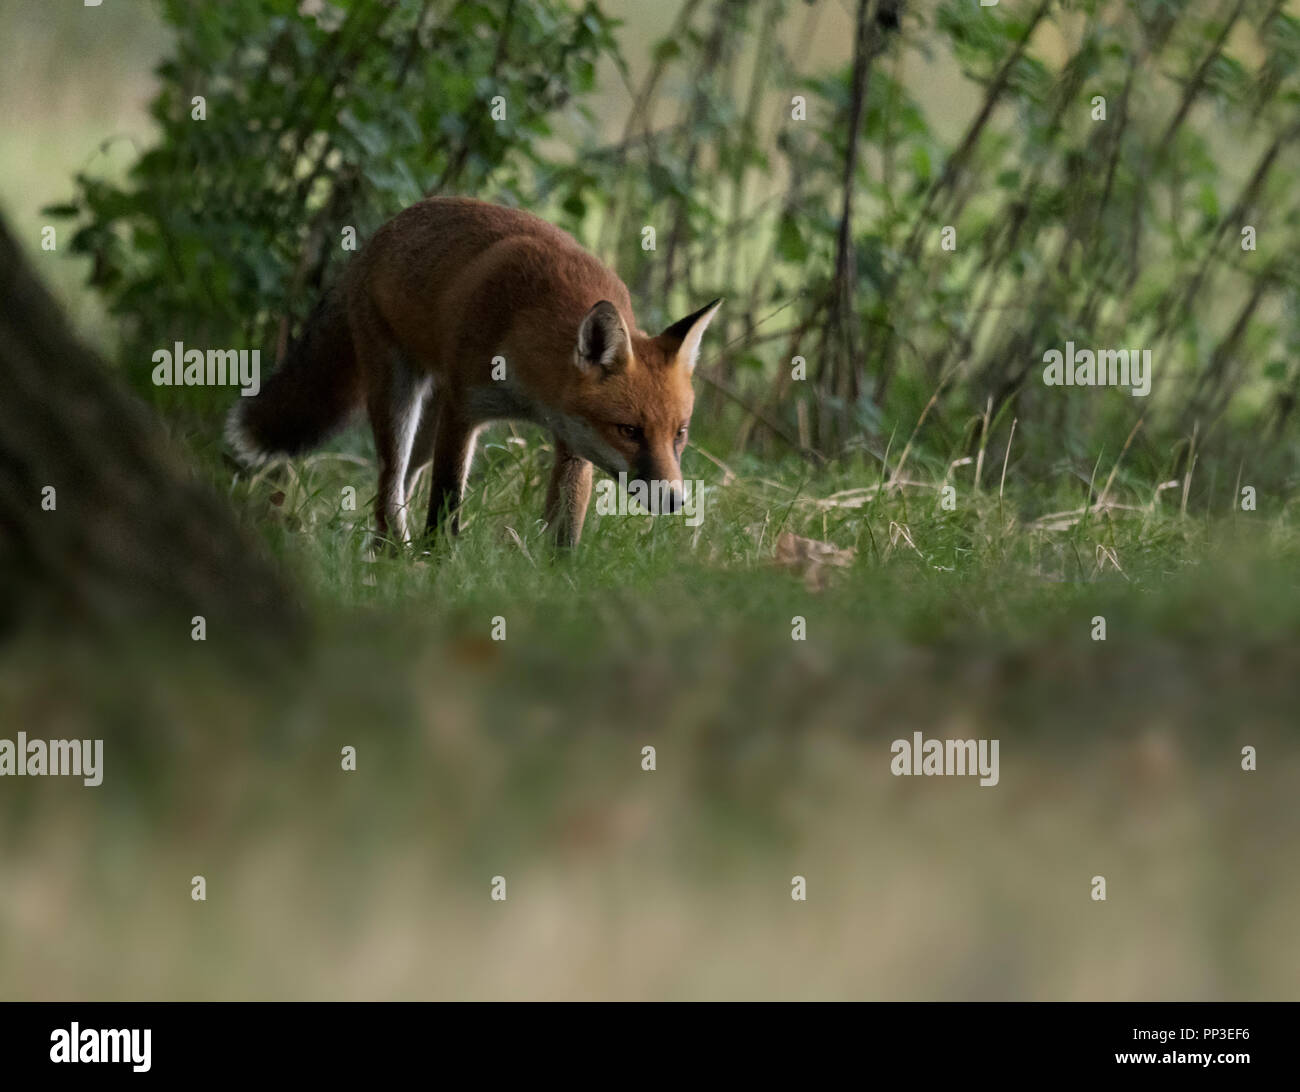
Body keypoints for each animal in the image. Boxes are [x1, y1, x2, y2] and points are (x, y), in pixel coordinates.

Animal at [226, 197, 721, 548]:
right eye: (629, 431)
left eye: (680, 433)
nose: (675, 501)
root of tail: (377, 236)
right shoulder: (464, 411)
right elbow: (447, 502)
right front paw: (439, 560)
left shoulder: (572, 442)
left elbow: (566, 527)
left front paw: (559, 580)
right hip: (400, 400)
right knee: (389, 484)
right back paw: (396, 554)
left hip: (427, 424)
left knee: (401, 484)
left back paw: (382, 553)